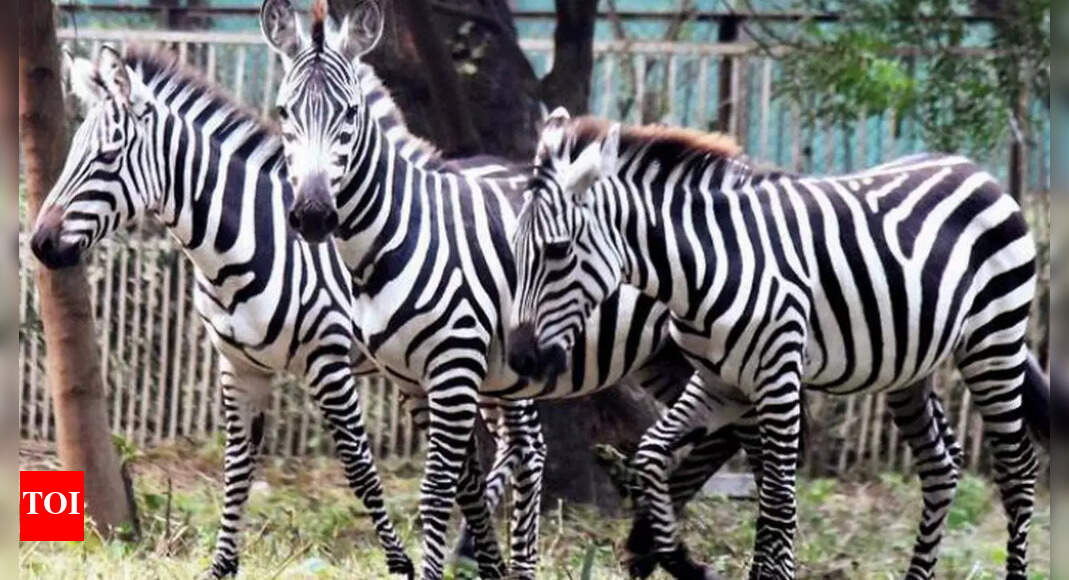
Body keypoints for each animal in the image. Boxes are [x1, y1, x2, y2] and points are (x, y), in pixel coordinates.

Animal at [508, 108, 1050, 579]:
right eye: (513, 247)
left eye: (557, 251)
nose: (518, 358)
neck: (702, 269)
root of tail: (977, 170)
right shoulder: (719, 381)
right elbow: (650, 455)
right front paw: (669, 554)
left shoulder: (778, 378)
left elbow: (778, 503)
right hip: (909, 366)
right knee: (940, 464)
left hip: (993, 341)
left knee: (1018, 468)